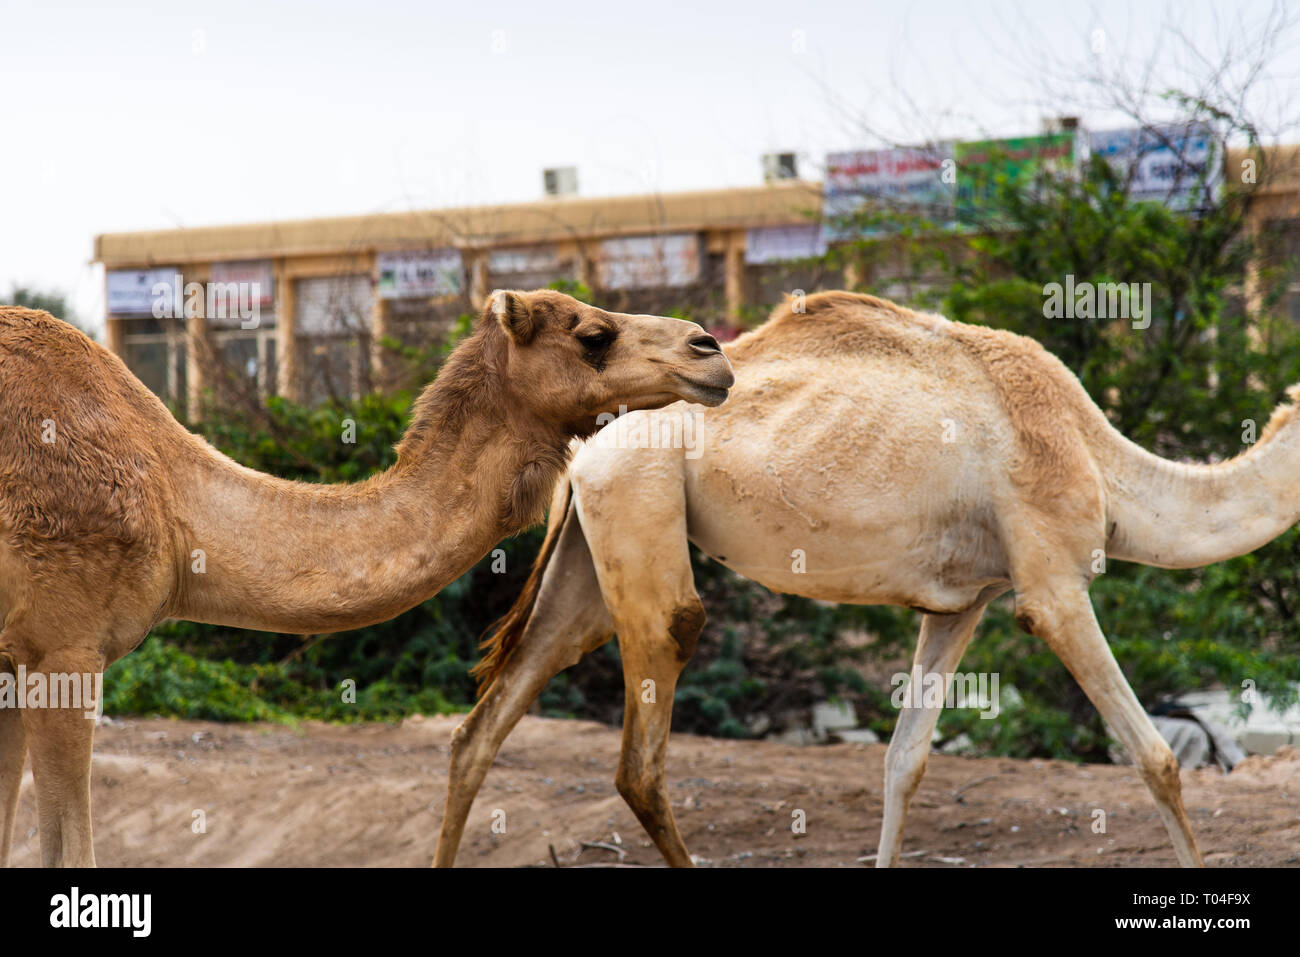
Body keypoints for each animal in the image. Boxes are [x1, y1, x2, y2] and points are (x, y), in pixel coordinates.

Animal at [0, 287, 734, 867]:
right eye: (592, 334)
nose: (710, 349)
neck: (176, 505)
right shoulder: (63, 648)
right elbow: (68, 853)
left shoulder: (14, 660)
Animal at [435, 290, 1300, 869]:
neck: (1102, 461)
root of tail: (586, 446)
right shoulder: (1051, 584)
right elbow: (1157, 757)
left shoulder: (964, 603)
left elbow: (903, 764)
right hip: (642, 511)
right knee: (642, 755)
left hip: (589, 555)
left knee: (483, 725)